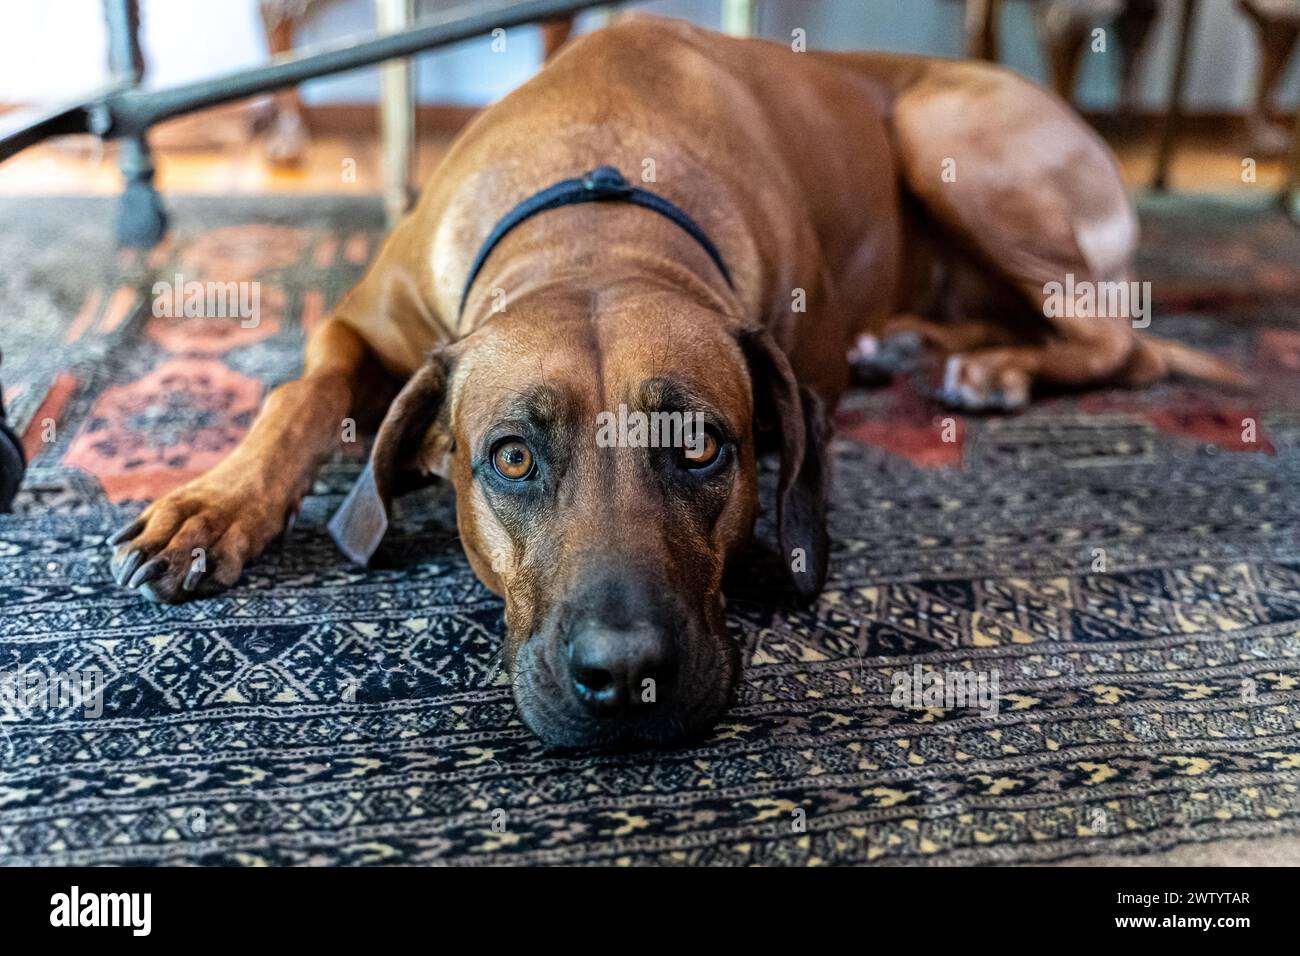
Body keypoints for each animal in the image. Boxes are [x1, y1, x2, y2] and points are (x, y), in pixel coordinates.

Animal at [106, 14, 1242, 749]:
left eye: (701, 447)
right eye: (510, 457)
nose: (624, 678)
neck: (597, 210)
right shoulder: (362, 317)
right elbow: (298, 393)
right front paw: (212, 506)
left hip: (950, 137)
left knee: (1119, 341)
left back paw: (992, 367)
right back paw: (918, 342)